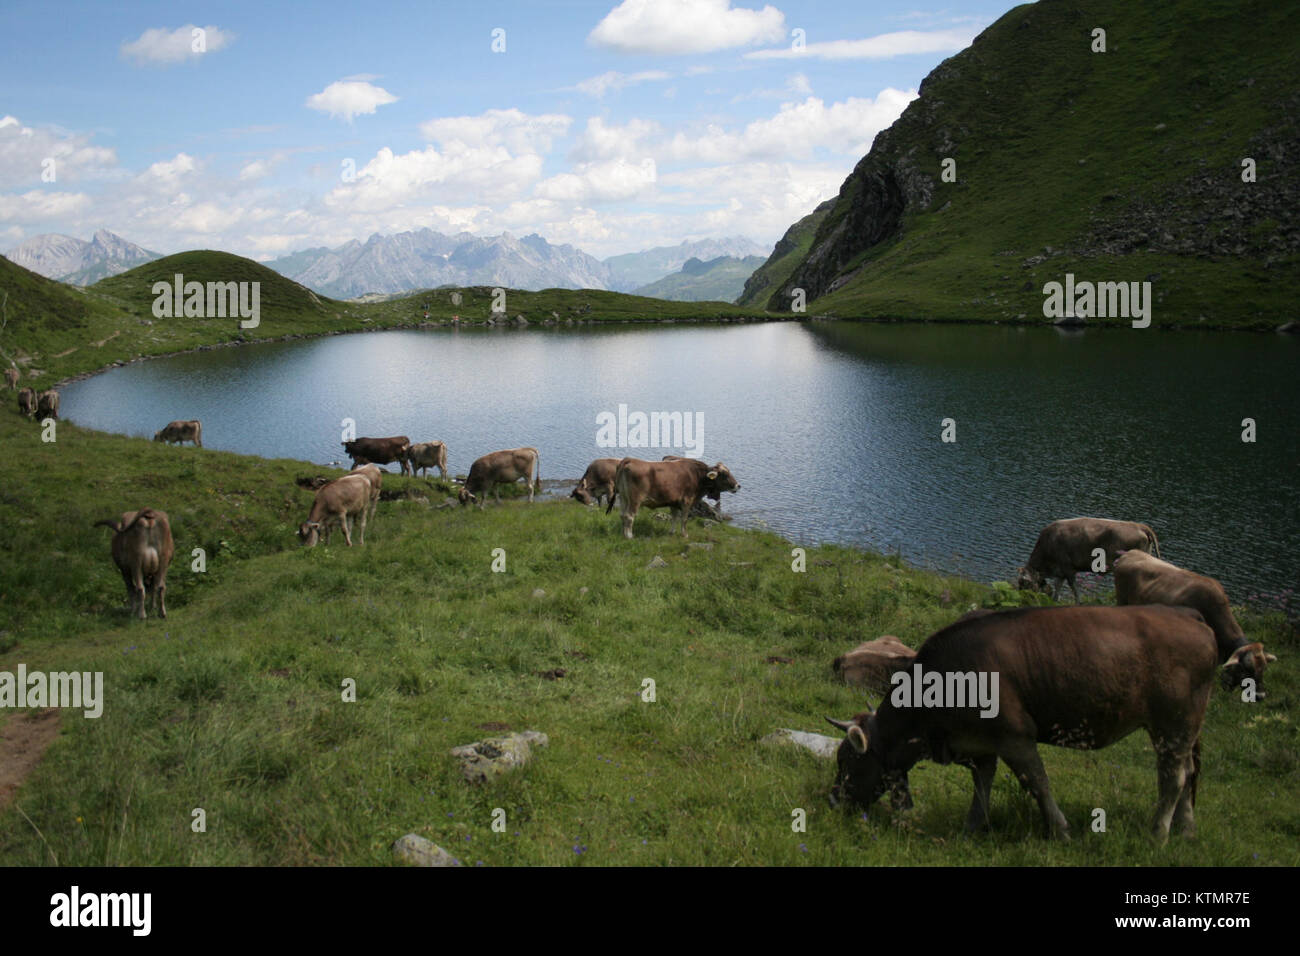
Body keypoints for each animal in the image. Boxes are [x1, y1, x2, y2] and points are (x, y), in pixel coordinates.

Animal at [606, 457, 740, 539]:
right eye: (724, 474)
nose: (738, 485)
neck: (698, 476)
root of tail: (628, 460)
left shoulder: (673, 501)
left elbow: (674, 517)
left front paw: (672, 532)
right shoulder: (687, 501)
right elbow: (684, 519)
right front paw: (684, 535)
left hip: (623, 497)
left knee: (622, 515)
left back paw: (623, 534)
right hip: (635, 499)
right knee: (629, 516)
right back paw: (630, 536)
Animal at [825, 605, 1219, 844]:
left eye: (847, 761)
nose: (833, 800)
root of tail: (1187, 614)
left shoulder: (1015, 737)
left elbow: (1037, 784)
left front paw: (1060, 832)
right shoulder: (979, 744)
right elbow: (982, 787)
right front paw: (970, 830)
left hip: (1174, 724)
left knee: (1173, 778)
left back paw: (1158, 834)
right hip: (1180, 731)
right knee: (1187, 773)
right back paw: (1186, 830)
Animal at [1015, 517, 1161, 602]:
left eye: (1024, 583)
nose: (1022, 599)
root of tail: (1139, 525)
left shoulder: (1068, 569)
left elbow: (1074, 590)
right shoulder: (1060, 572)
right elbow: (1057, 588)